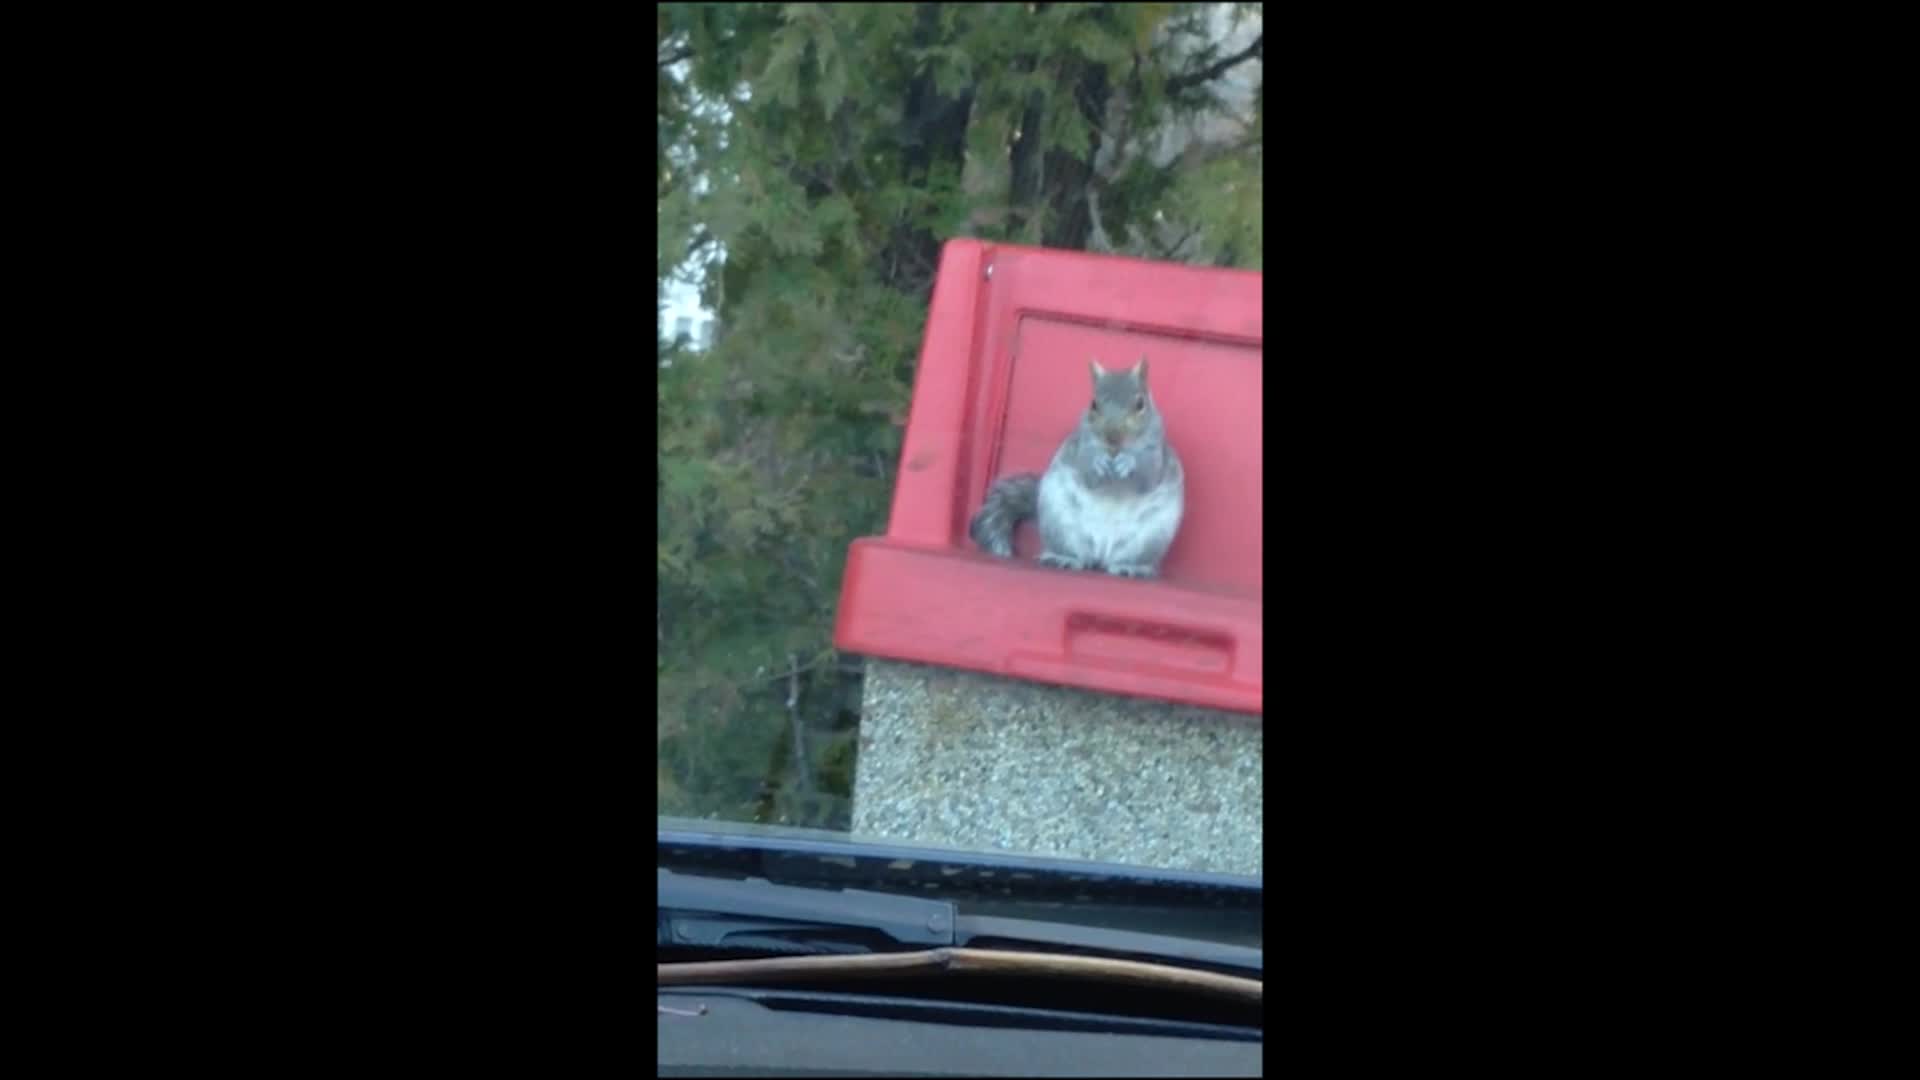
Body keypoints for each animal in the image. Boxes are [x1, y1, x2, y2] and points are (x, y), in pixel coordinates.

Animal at [968, 356, 1185, 578]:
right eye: (1093, 404)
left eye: (1140, 404)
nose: (1112, 438)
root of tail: (1101, 554)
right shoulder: (1081, 446)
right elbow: (1088, 473)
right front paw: (1098, 462)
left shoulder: (1156, 453)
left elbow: (1147, 476)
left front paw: (1128, 461)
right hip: (1060, 524)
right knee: (1077, 555)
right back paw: (1063, 558)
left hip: (1150, 539)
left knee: (1125, 559)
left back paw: (1131, 568)